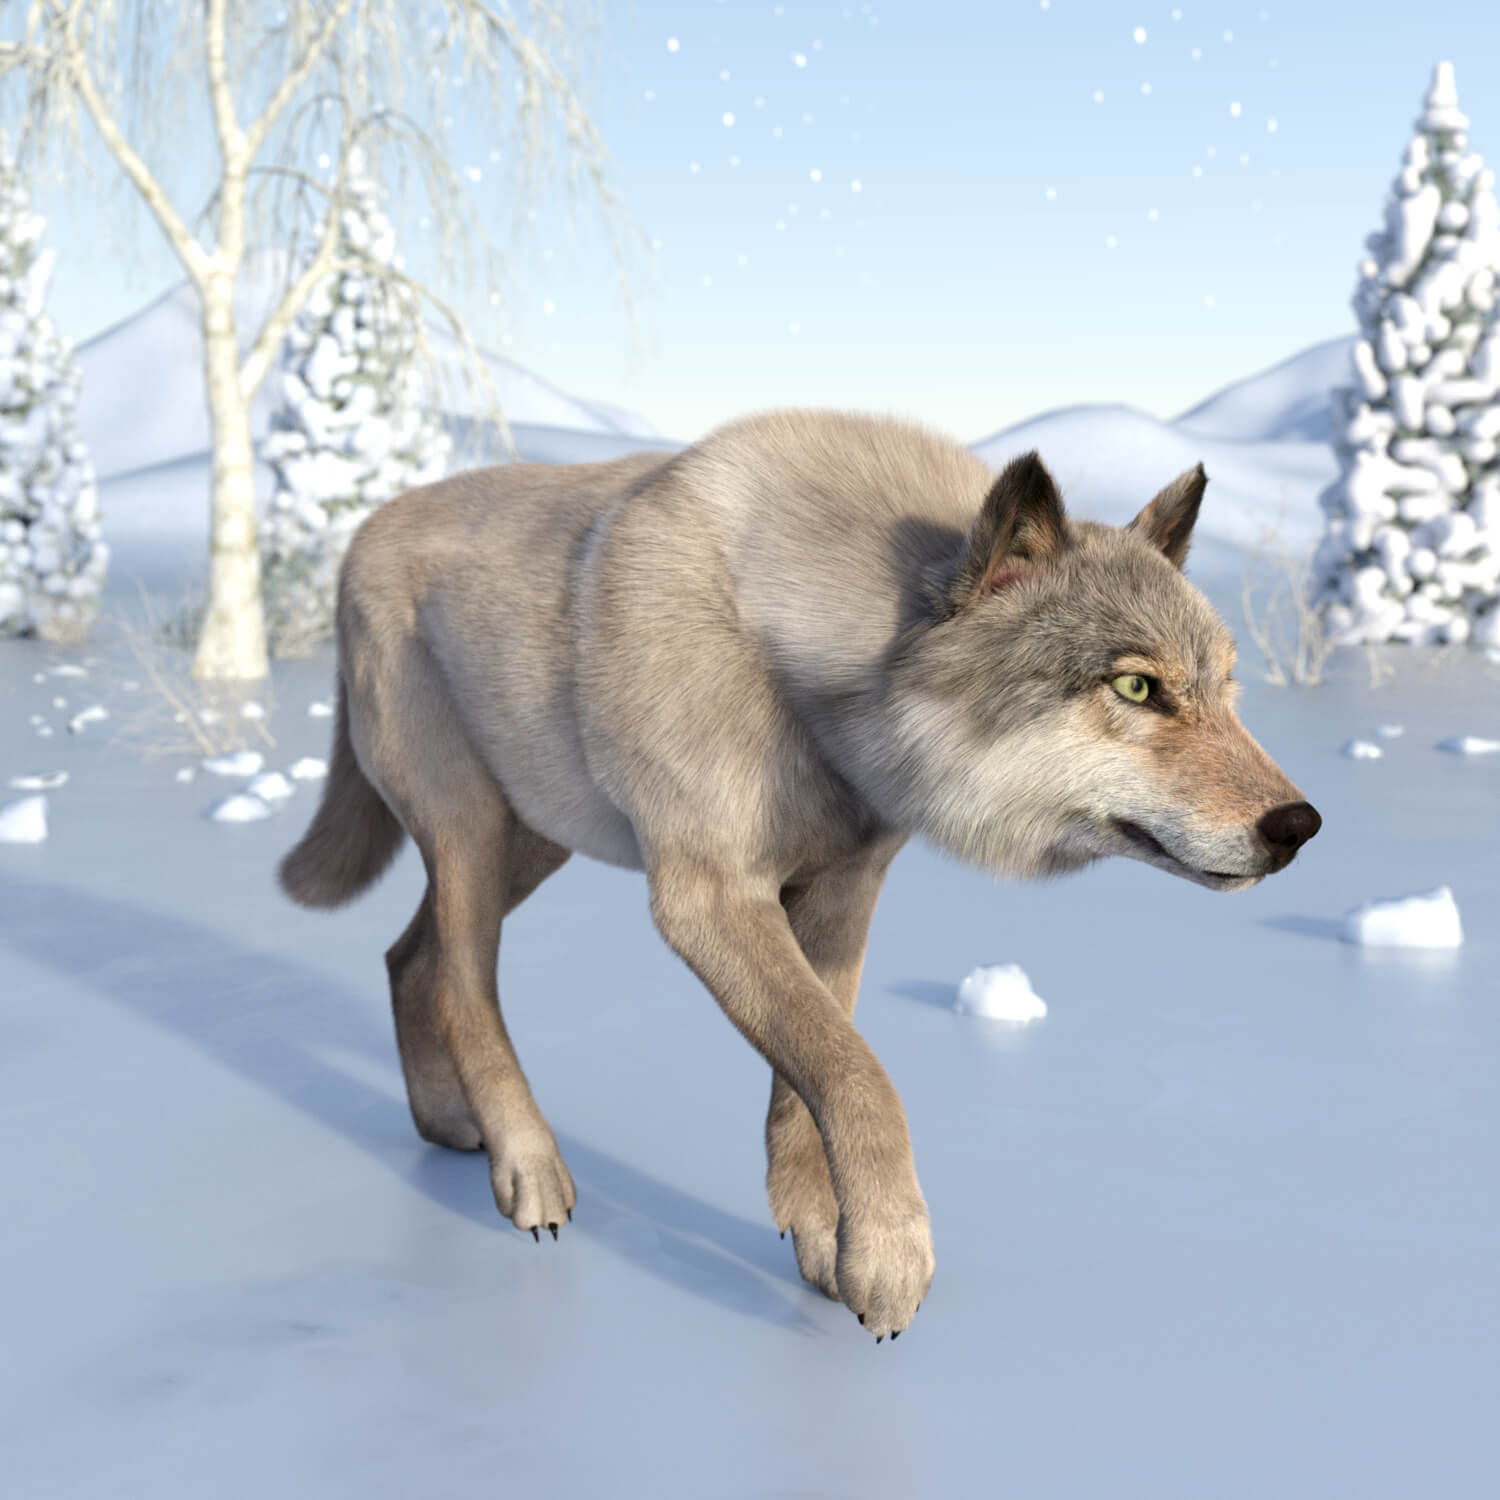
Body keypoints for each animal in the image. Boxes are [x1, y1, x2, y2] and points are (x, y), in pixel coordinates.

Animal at [280, 409, 1320, 1342]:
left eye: (1226, 687)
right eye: (1137, 687)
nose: (1302, 826)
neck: (800, 656)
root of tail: (364, 530)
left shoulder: (842, 890)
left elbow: (809, 1074)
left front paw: (825, 1238)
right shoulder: (706, 898)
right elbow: (858, 1072)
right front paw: (894, 1253)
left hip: (539, 837)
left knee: (406, 957)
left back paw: (447, 1125)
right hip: (472, 832)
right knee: (461, 981)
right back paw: (526, 1167)